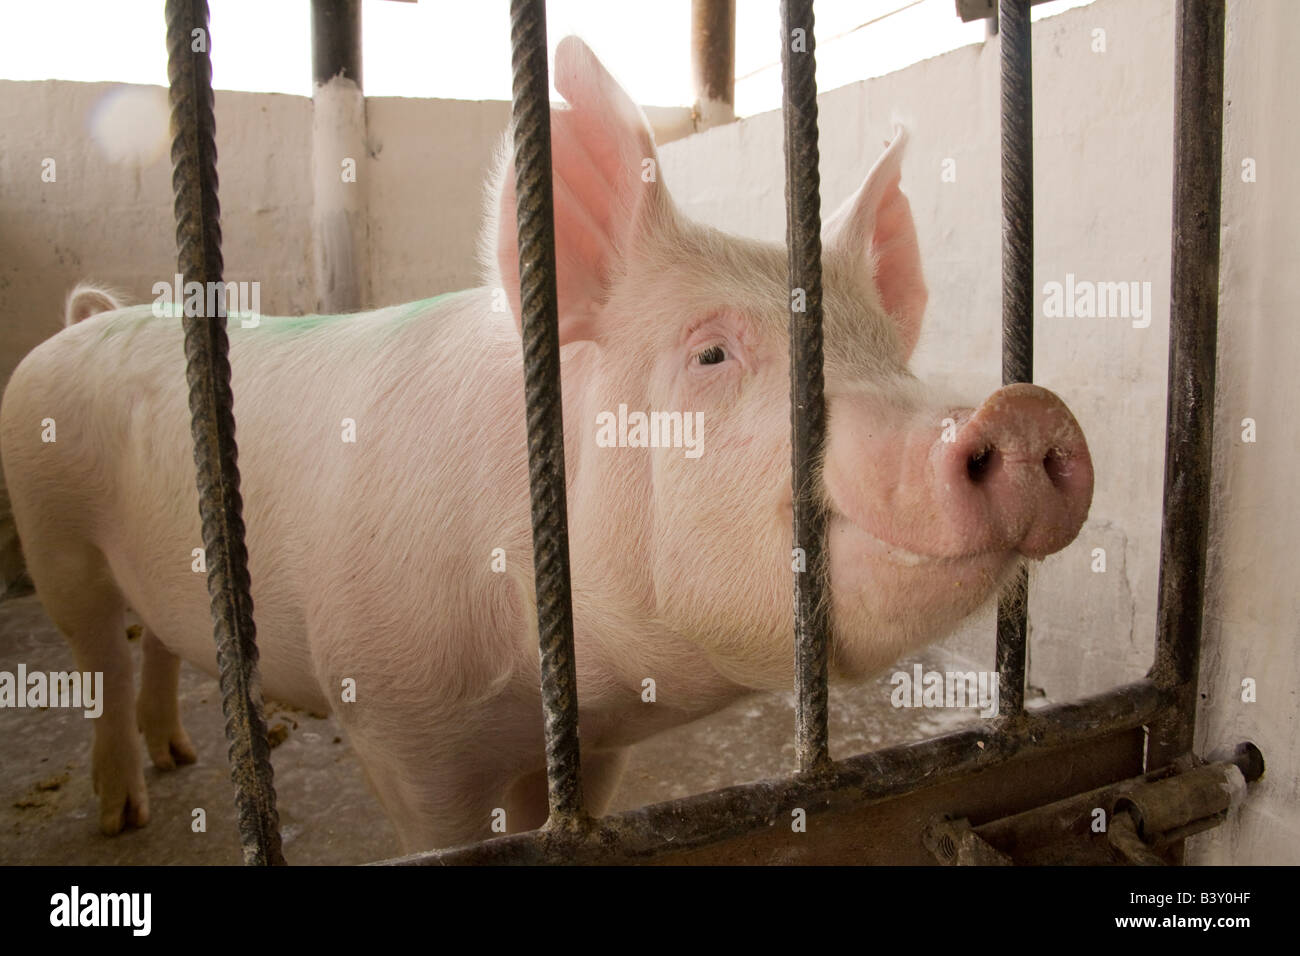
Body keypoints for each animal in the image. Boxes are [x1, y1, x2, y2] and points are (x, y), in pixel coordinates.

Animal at [0, 36, 1092, 853]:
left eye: (887, 351)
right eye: (709, 353)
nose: (1022, 410)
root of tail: (82, 322)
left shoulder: (595, 746)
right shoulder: (398, 725)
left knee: (156, 642)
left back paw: (186, 754)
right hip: (53, 531)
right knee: (100, 656)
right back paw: (122, 810)